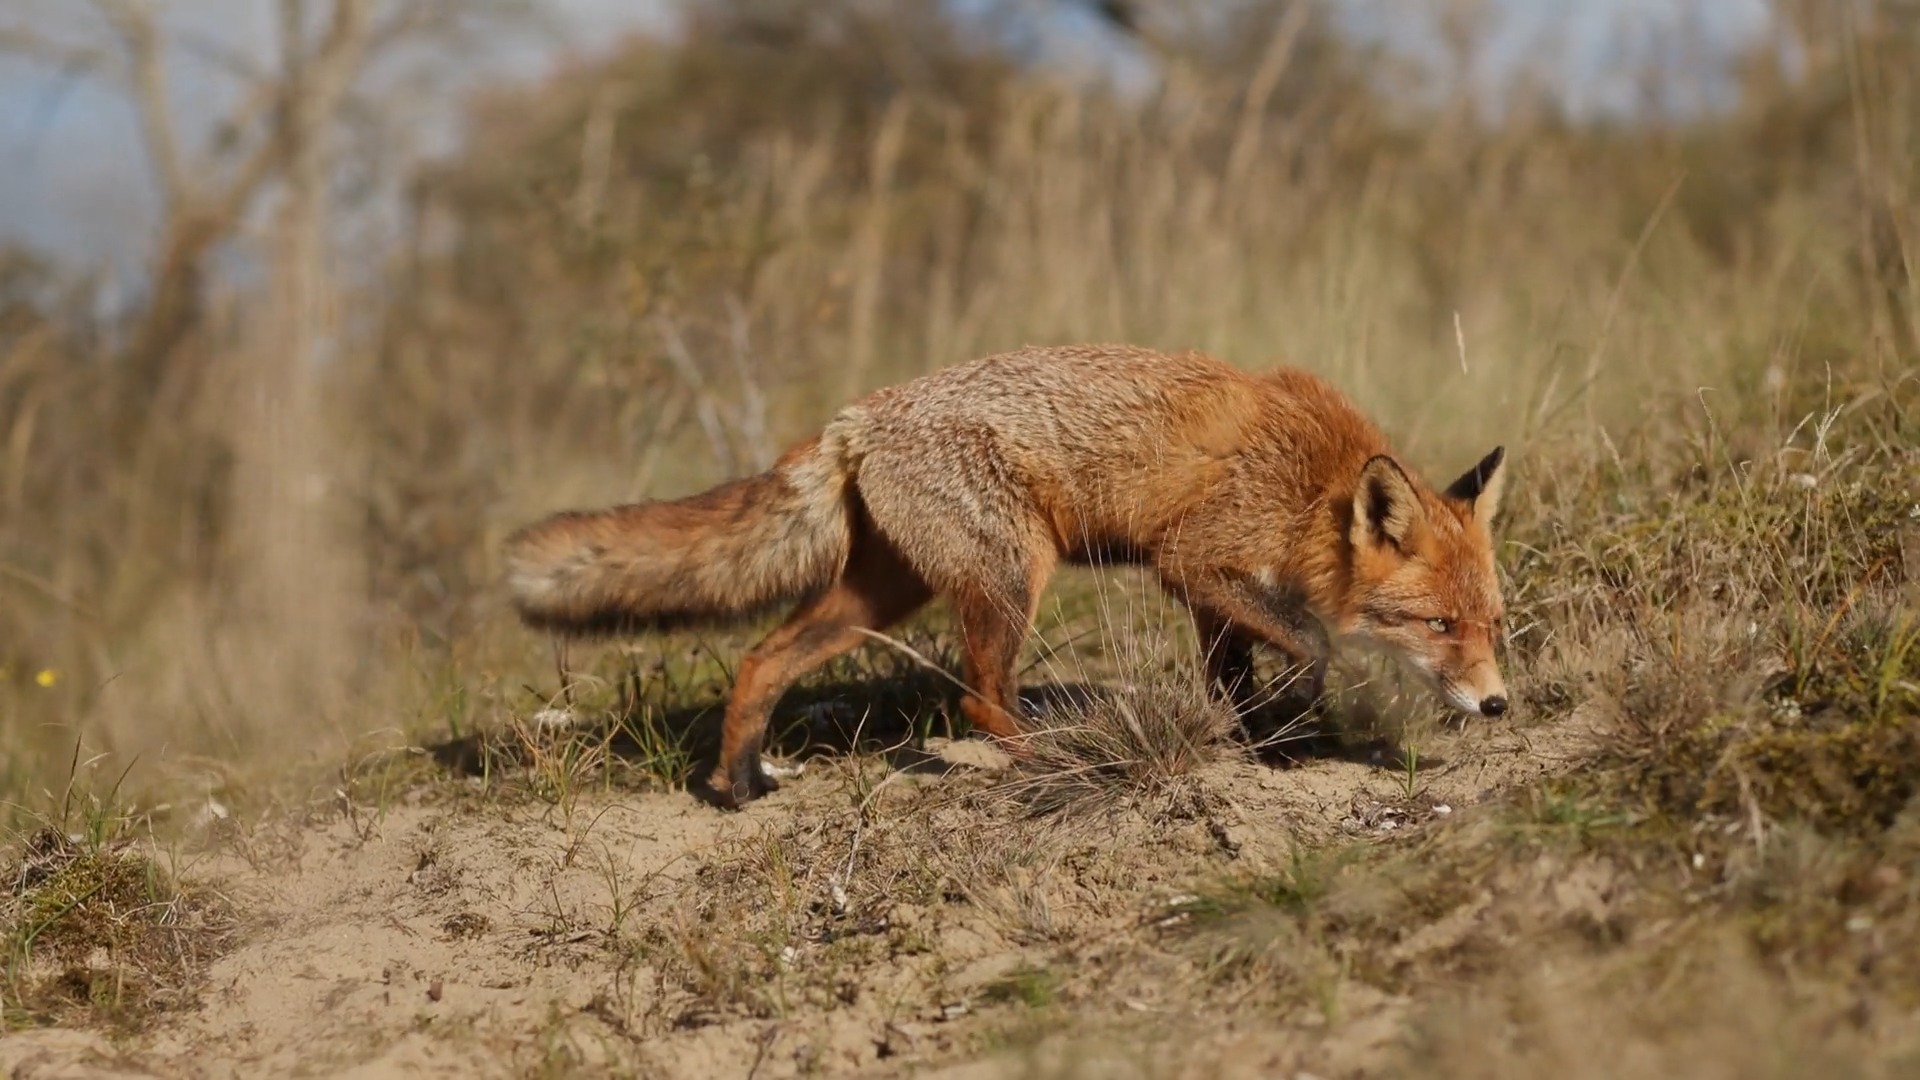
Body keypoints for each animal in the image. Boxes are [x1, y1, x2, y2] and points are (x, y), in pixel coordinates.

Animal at [504, 344, 1511, 809]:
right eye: (1437, 626)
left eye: (1492, 626)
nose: (1499, 704)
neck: (1310, 490)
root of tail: (852, 417)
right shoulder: (1194, 561)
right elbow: (1305, 641)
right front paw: (1293, 718)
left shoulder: (1207, 593)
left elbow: (1234, 680)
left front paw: (1266, 742)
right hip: (1009, 576)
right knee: (980, 698)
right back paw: (1053, 757)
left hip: (884, 595)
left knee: (761, 660)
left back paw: (741, 781)